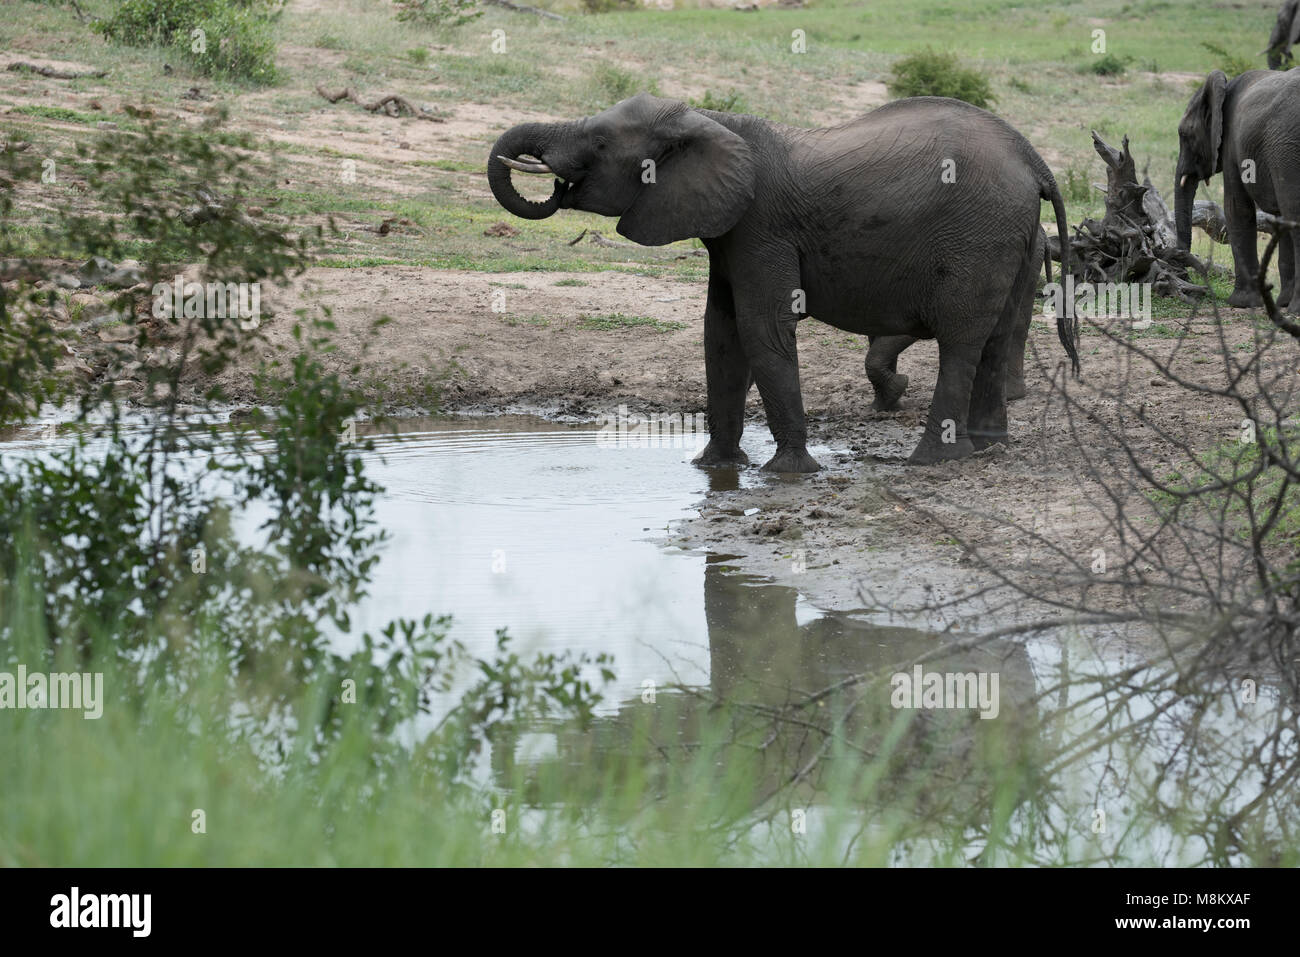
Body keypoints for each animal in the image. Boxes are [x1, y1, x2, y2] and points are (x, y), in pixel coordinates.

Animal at [1174, 69, 1300, 308]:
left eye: (1184, 135)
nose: (1185, 277)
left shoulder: (1233, 144)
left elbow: (1236, 209)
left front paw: (1240, 303)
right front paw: (1281, 303)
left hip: (1288, 150)